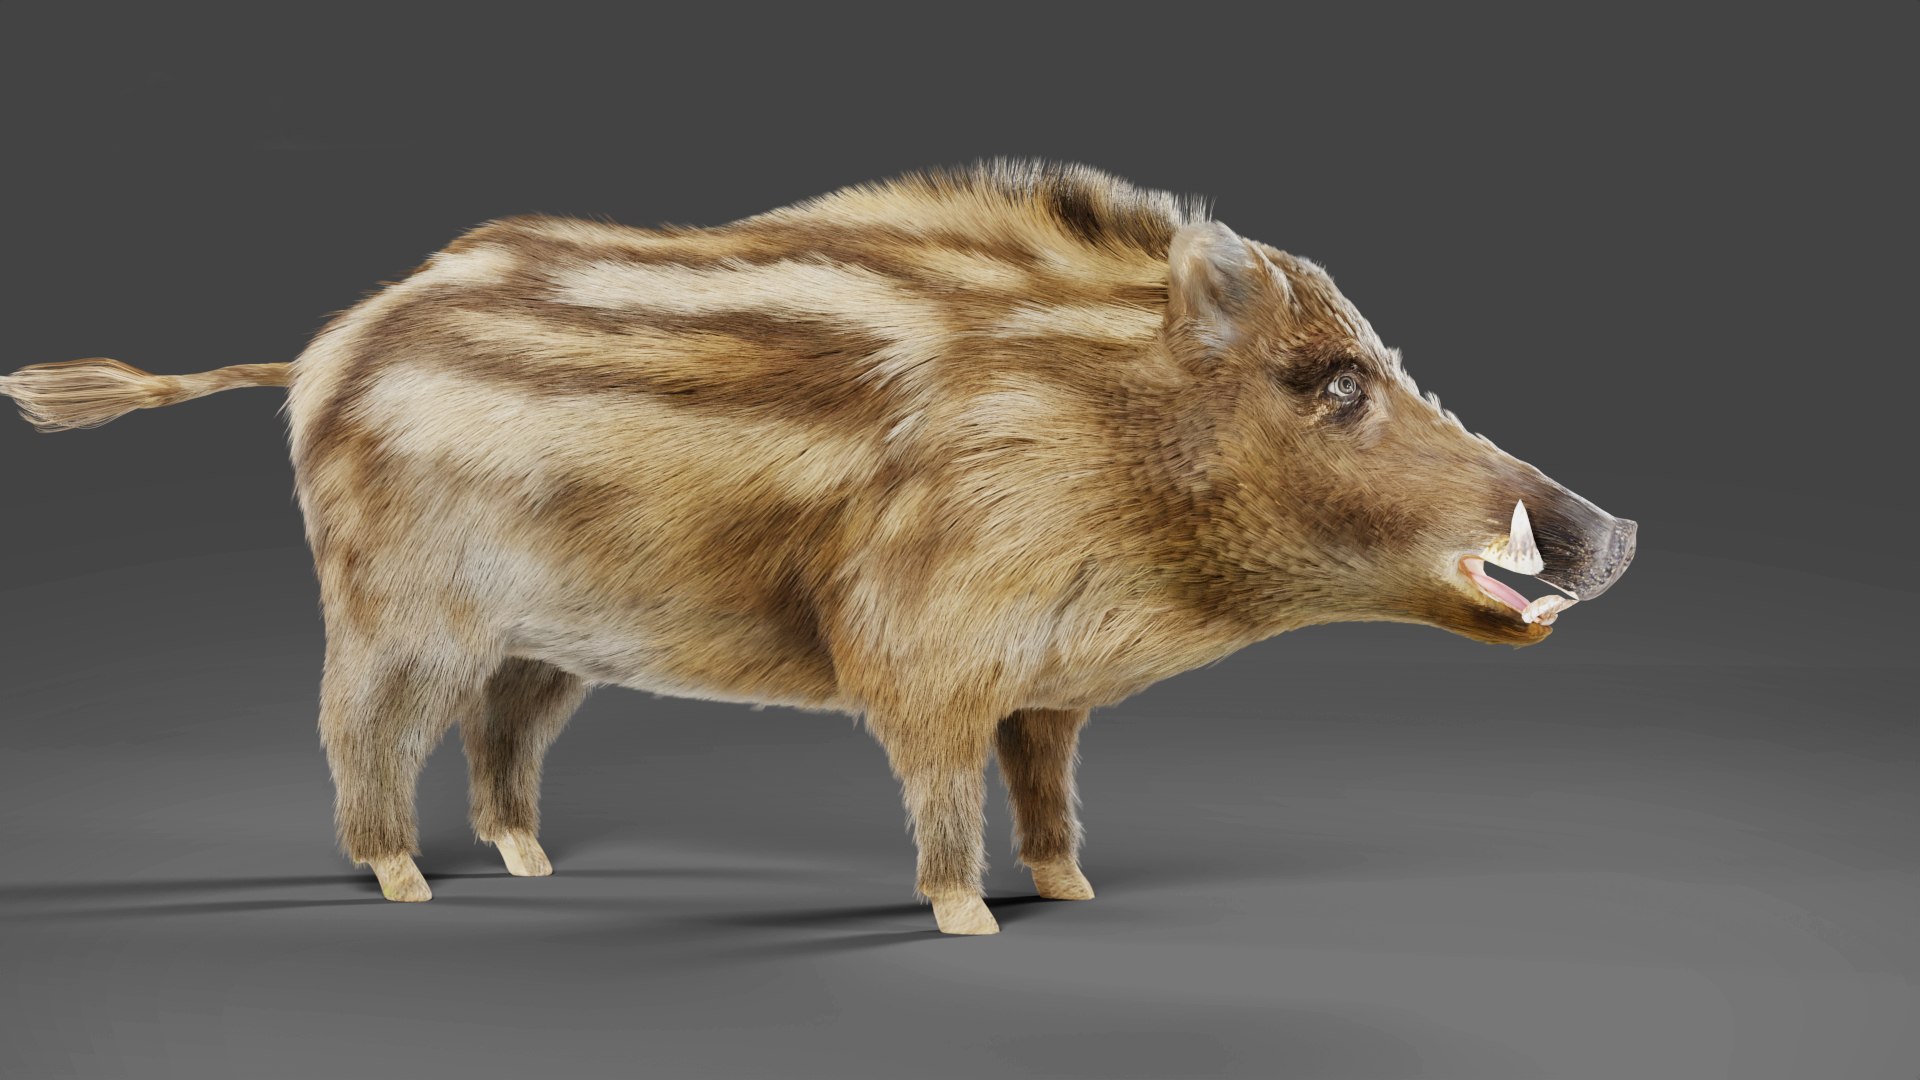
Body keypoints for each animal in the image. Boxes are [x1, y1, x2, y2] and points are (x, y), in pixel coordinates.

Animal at [0, 160, 1635, 935]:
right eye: (1334, 386)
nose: (1612, 531)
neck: (1108, 441)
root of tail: (324, 347)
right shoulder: (927, 652)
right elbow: (944, 796)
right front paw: (971, 922)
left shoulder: (1047, 682)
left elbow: (1046, 790)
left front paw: (1072, 896)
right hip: (399, 612)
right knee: (359, 733)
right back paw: (404, 886)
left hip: (544, 644)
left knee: (503, 737)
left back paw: (530, 864)